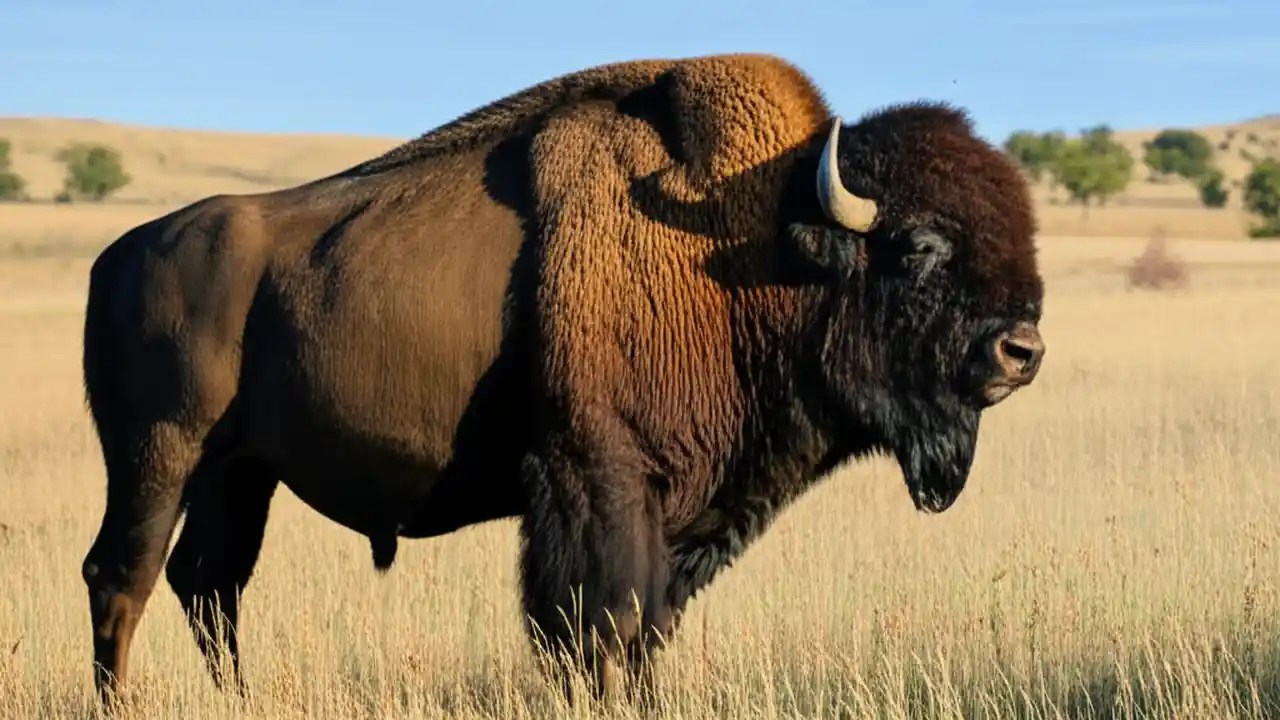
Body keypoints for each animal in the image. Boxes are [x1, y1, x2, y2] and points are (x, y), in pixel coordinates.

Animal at [79, 53, 1045, 702]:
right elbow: (599, 625)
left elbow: (647, 628)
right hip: (158, 457)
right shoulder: (597, 480)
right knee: (122, 577)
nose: (1022, 350)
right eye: (917, 245)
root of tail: (118, 258)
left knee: (210, 586)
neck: (759, 246)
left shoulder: (680, 519)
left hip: (241, 473)